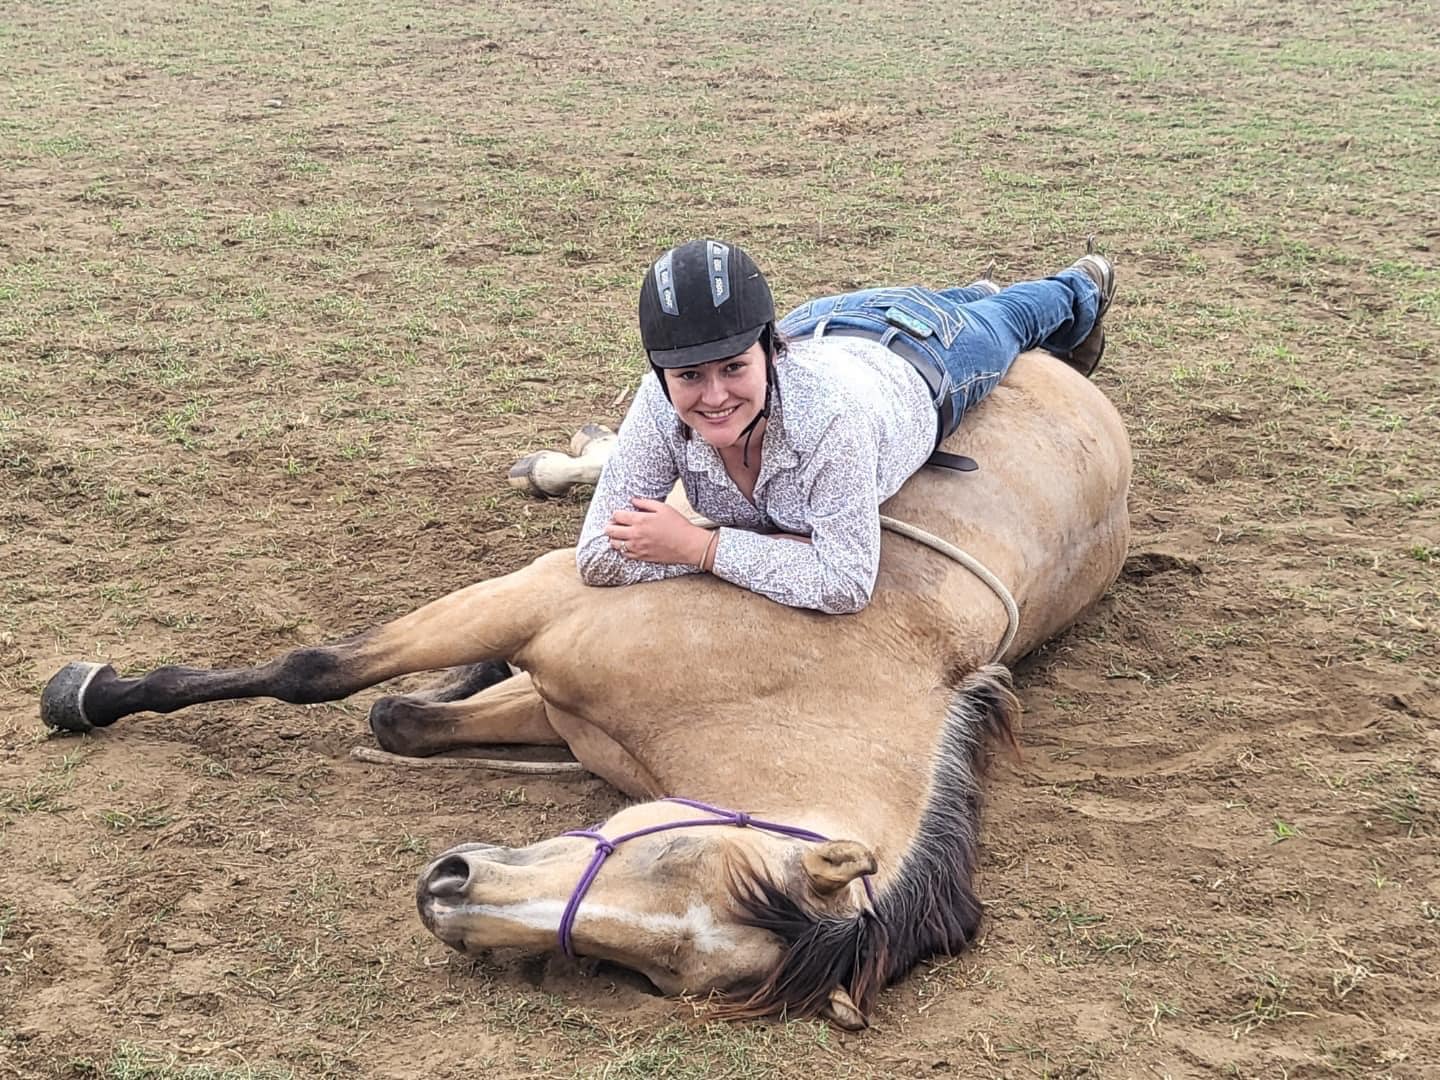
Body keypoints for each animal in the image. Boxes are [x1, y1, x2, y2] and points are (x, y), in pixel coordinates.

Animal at [39, 351, 1131, 1028]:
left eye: (647, 968)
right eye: (674, 854)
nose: (444, 893)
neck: (800, 686)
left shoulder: (562, 695)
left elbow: (399, 717)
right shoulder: (538, 597)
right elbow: (318, 672)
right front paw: (91, 694)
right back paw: (558, 464)